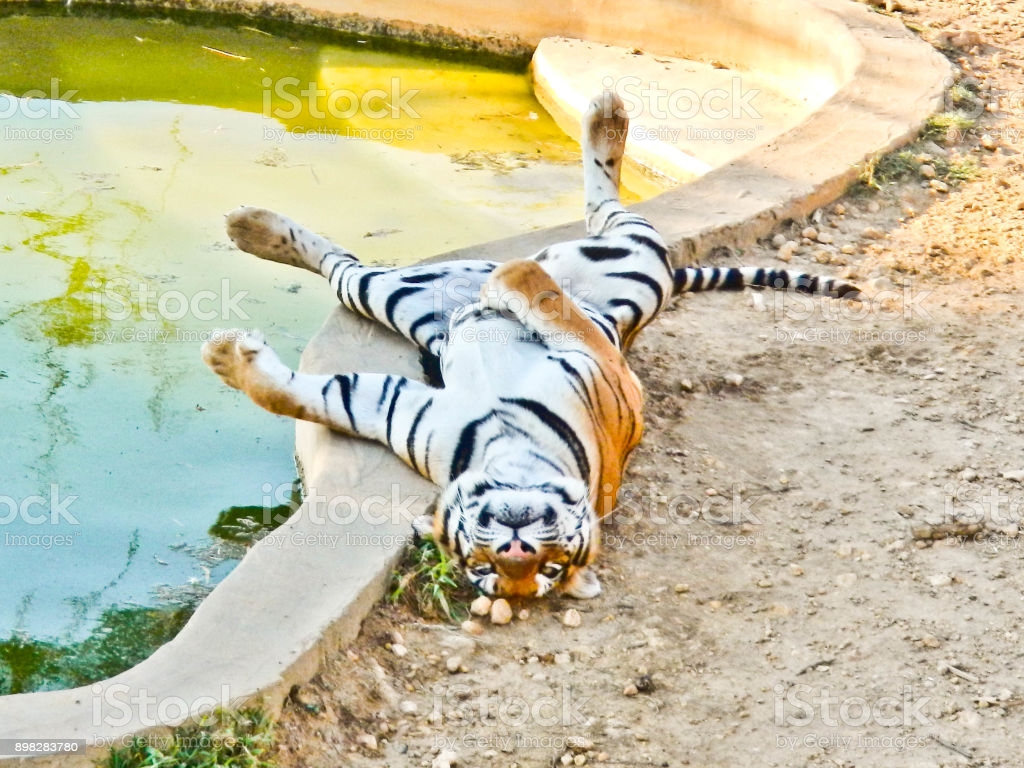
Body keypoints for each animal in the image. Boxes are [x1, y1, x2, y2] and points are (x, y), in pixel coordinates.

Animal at [202, 91, 860, 599]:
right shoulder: (584, 358)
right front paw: (226, 357)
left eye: (545, 569)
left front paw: (226, 359)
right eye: (484, 563)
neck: (508, 447)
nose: (515, 552)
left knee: (352, 267)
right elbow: (527, 283)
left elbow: (307, 395)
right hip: (620, 261)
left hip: (404, 296)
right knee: (594, 211)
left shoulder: (390, 401)